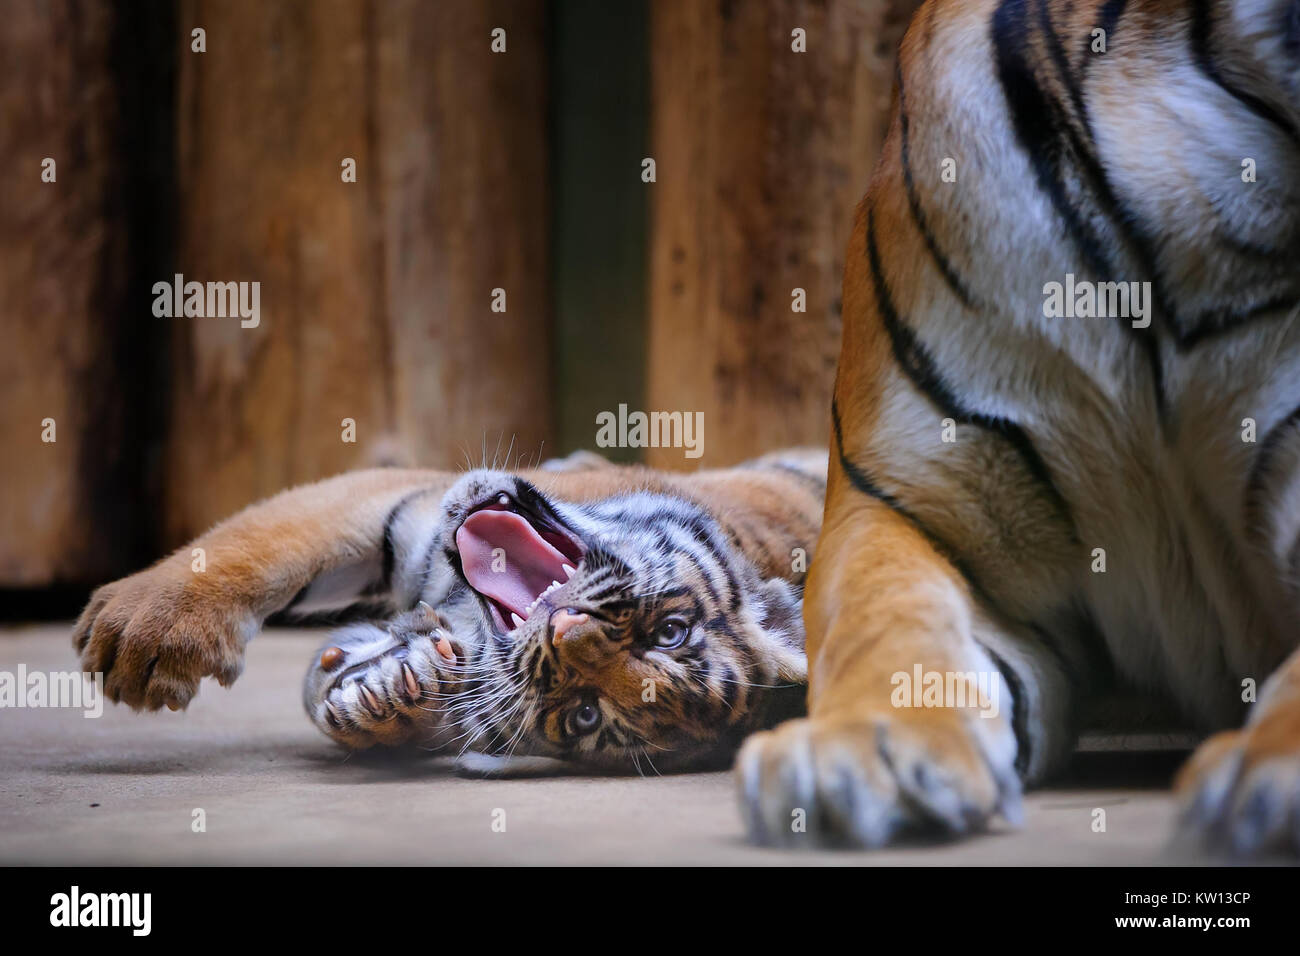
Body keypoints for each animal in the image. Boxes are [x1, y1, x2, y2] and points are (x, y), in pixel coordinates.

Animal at [72, 450, 823, 771]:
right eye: (670, 631)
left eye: (585, 714)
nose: (564, 629)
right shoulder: (393, 499)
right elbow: (259, 542)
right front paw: (142, 631)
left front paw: (387, 696)